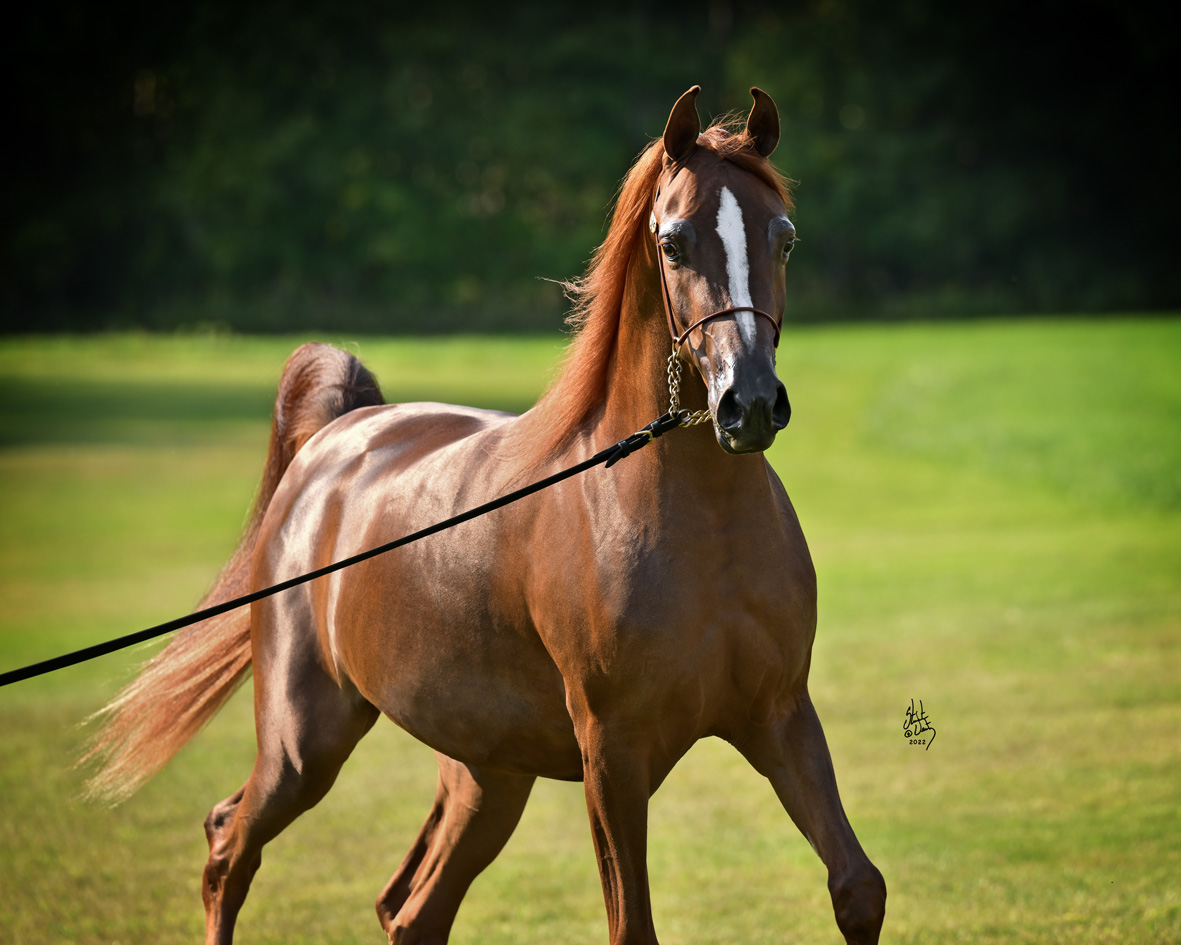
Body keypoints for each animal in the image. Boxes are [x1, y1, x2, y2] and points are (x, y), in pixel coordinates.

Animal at [83, 86, 886, 945]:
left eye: (784, 237)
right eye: (672, 242)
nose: (750, 403)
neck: (698, 530)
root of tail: (335, 436)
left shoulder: (778, 715)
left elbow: (857, 888)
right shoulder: (613, 751)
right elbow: (631, 925)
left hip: (487, 773)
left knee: (408, 911)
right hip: (306, 743)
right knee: (228, 846)